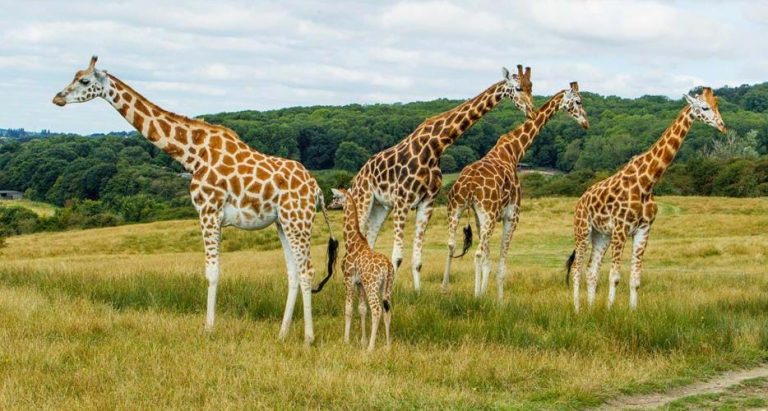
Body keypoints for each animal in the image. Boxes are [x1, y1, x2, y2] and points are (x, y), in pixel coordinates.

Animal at [52, 56, 338, 344]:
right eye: (74, 76)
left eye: (84, 80)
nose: (57, 98)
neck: (192, 154)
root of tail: (316, 189)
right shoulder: (212, 214)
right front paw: (210, 326)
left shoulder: (208, 210)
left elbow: (212, 272)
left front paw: (208, 329)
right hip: (282, 222)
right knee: (293, 272)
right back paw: (282, 334)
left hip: (297, 219)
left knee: (307, 270)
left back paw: (308, 338)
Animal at [329, 188, 395, 352]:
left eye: (334, 197)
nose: (328, 205)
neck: (352, 241)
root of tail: (387, 266)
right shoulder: (360, 284)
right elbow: (362, 309)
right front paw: (362, 341)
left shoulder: (348, 279)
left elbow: (348, 309)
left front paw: (346, 340)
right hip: (387, 287)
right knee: (387, 310)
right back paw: (387, 345)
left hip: (372, 286)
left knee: (377, 310)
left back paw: (371, 348)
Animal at [348, 65, 535, 292]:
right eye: (517, 88)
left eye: (531, 87)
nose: (532, 111)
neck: (435, 146)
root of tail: (359, 175)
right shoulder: (403, 202)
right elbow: (397, 257)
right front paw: (389, 296)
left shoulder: (426, 202)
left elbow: (417, 260)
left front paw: (417, 293)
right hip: (364, 199)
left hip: (380, 207)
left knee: (369, 240)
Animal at [443, 81, 590, 300]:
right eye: (578, 101)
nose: (586, 122)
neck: (514, 150)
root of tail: (468, 186)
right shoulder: (511, 216)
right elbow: (499, 265)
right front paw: (497, 300)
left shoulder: (480, 218)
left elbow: (488, 261)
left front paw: (484, 294)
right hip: (486, 213)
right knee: (477, 253)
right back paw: (475, 298)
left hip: (456, 209)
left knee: (452, 245)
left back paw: (444, 289)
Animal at [566, 87, 726, 312]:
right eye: (704, 108)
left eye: (716, 106)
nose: (722, 126)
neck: (647, 182)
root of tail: (580, 201)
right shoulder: (621, 229)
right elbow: (614, 276)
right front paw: (610, 311)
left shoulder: (644, 229)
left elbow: (635, 279)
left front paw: (632, 312)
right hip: (582, 231)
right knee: (577, 269)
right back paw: (578, 310)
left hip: (601, 235)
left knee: (591, 270)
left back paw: (590, 310)